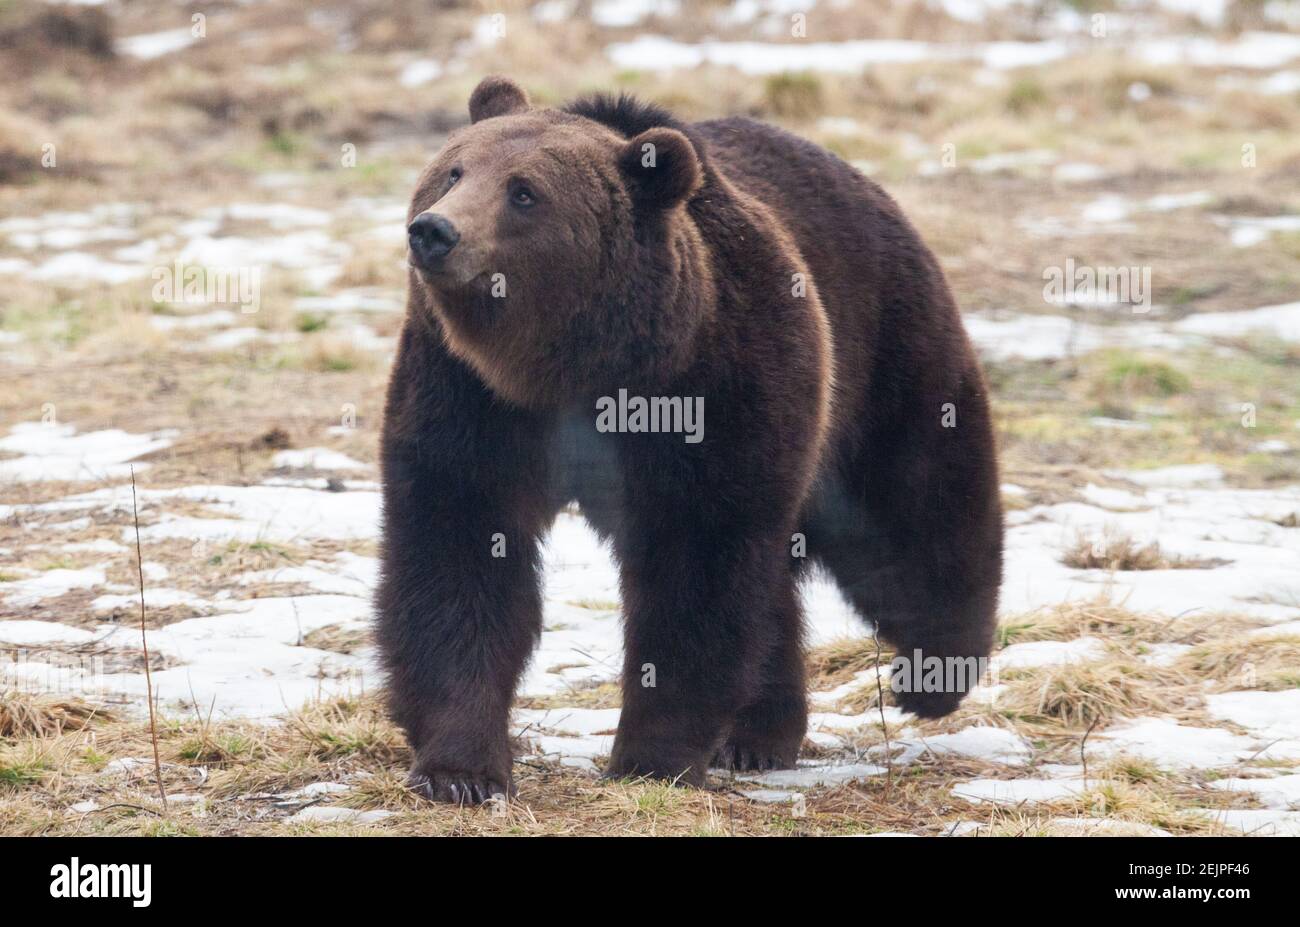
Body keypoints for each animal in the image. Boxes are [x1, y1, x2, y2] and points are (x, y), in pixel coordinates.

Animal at [377, 76, 1003, 803]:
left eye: (524, 191)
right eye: (453, 170)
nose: (434, 230)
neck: (573, 367)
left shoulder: (714, 385)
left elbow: (695, 569)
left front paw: (651, 756)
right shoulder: (471, 397)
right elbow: (457, 551)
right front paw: (458, 769)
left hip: (877, 348)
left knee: (915, 505)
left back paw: (933, 676)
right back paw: (760, 735)